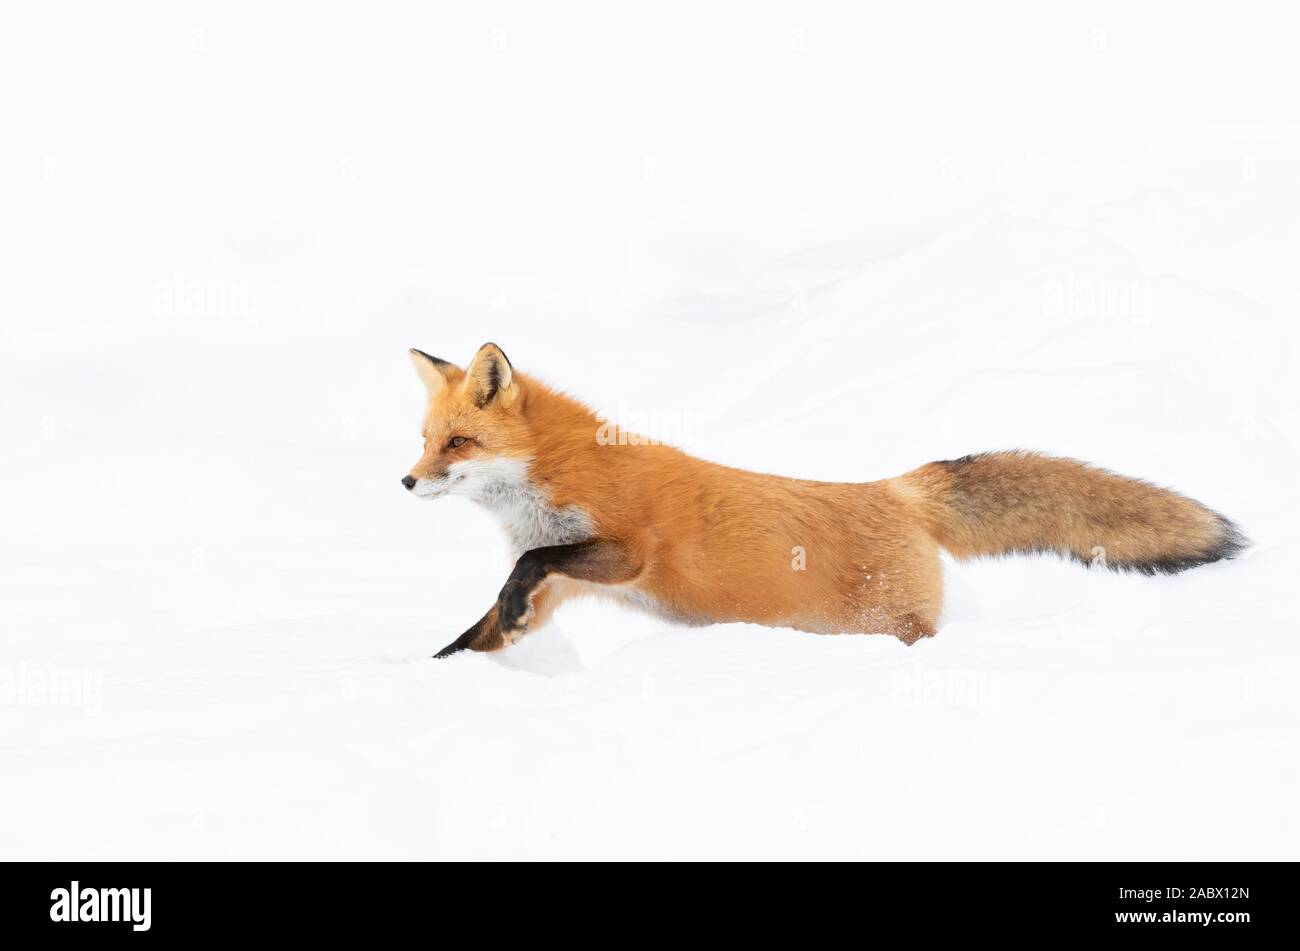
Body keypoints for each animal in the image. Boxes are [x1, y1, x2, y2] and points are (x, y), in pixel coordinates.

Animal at [404, 343, 1247, 658]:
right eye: (424, 438)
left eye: (458, 444)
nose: (406, 482)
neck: (554, 476)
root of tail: (896, 490)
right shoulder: (561, 582)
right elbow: (489, 620)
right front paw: (441, 669)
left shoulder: (626, 551)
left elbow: (527, 568)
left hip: (890, 625)